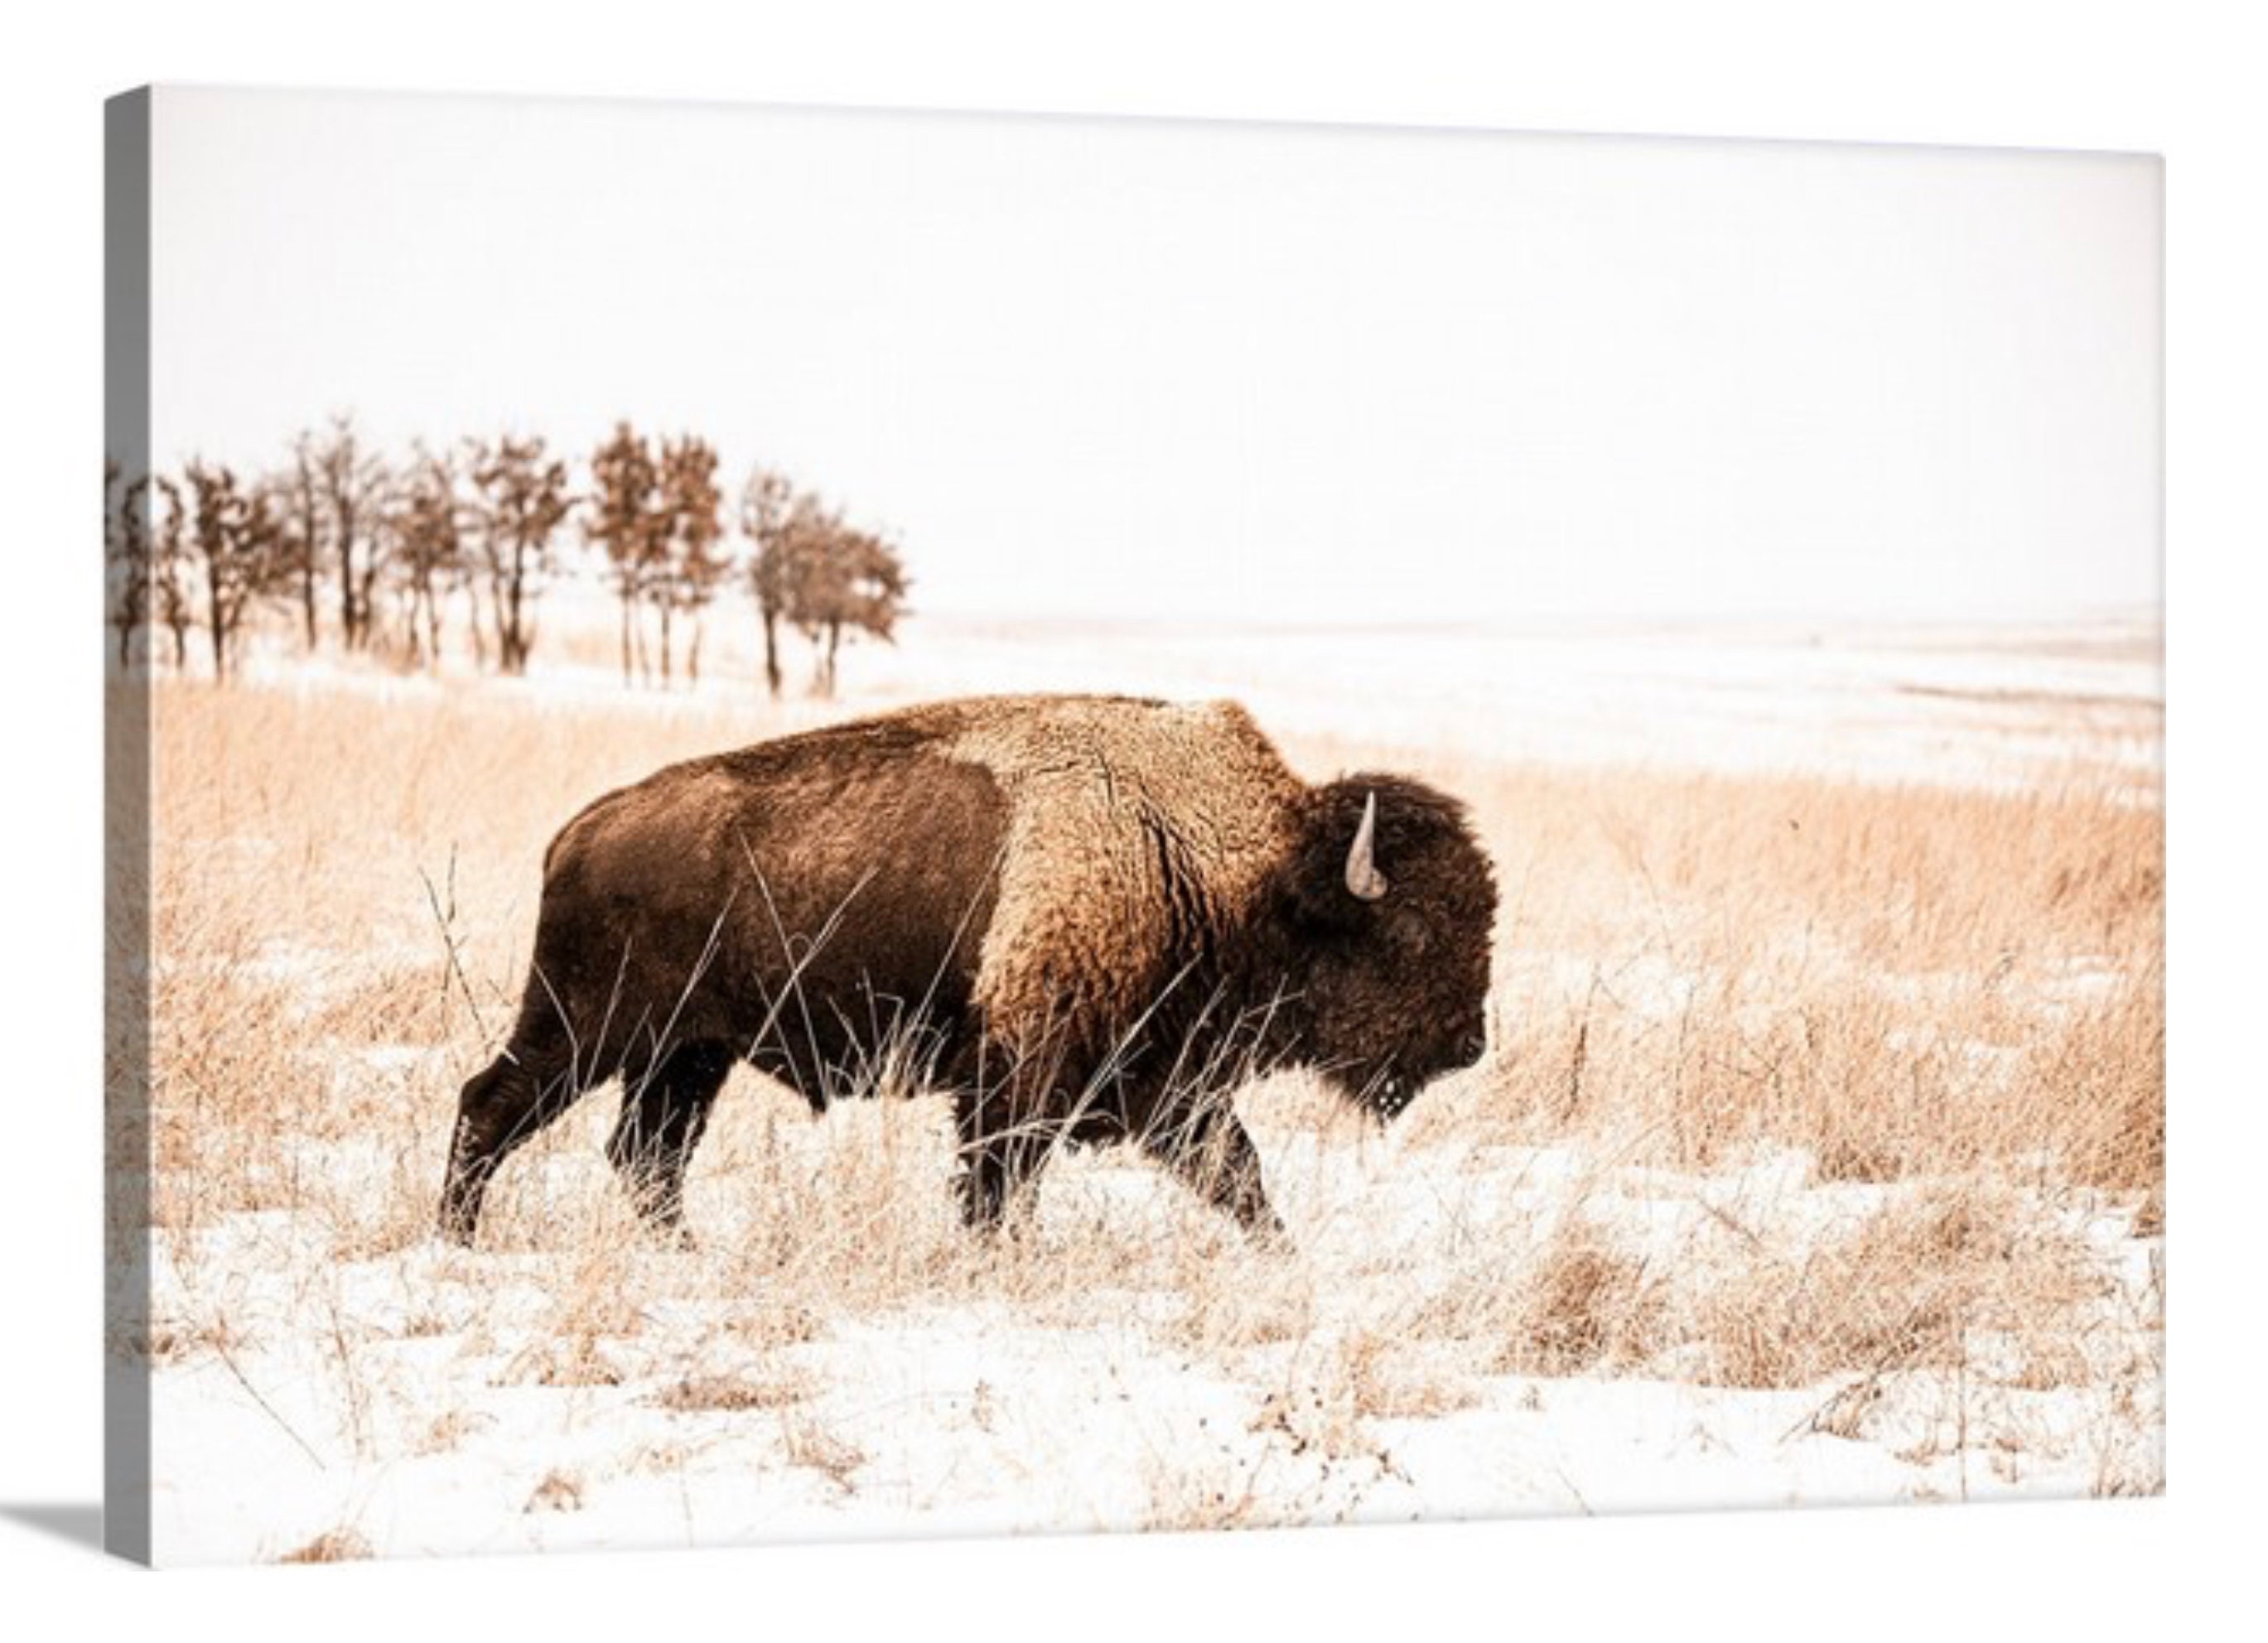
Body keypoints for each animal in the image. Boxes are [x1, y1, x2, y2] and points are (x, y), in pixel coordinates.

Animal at [437, 693, 1497, 1247]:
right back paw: (457, 1237)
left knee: (646, 1155)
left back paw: (686, 1255)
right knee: (492, 1105)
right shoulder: (1017, 1076)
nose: (1468, 1043)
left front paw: (1280, 1257)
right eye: (1409, 931)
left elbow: (1239, 1173)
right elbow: (996, 1184)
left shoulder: (1171, 1085)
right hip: (588, 1029)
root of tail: (579, 830)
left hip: (689, 1056)